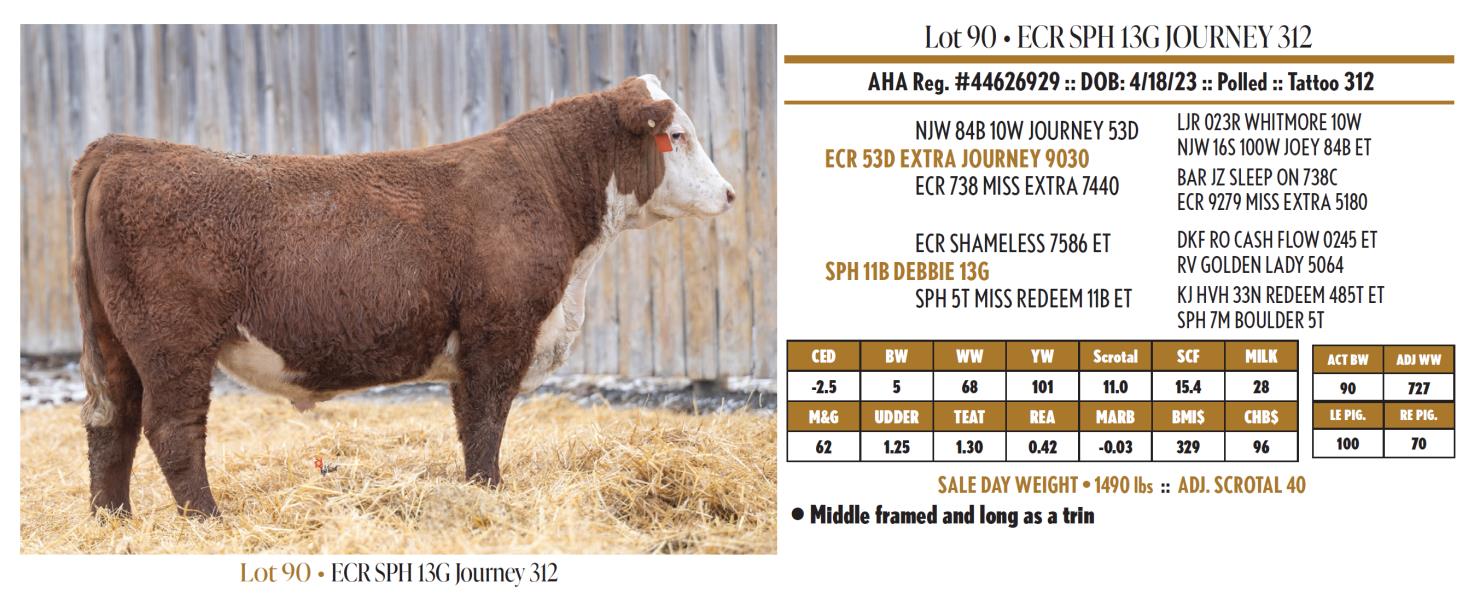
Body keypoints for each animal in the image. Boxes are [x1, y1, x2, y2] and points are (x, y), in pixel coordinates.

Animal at [70, 75, 734, 517]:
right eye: (678, 135)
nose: (728, 193)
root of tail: (125, 146)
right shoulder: (499, 333)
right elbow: (486, 421)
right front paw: (491, 493)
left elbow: (470, 422)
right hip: (173, 343)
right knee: (171, 427)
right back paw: (207, 518)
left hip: (113, 340)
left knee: (110, 420)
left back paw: (113, 519)